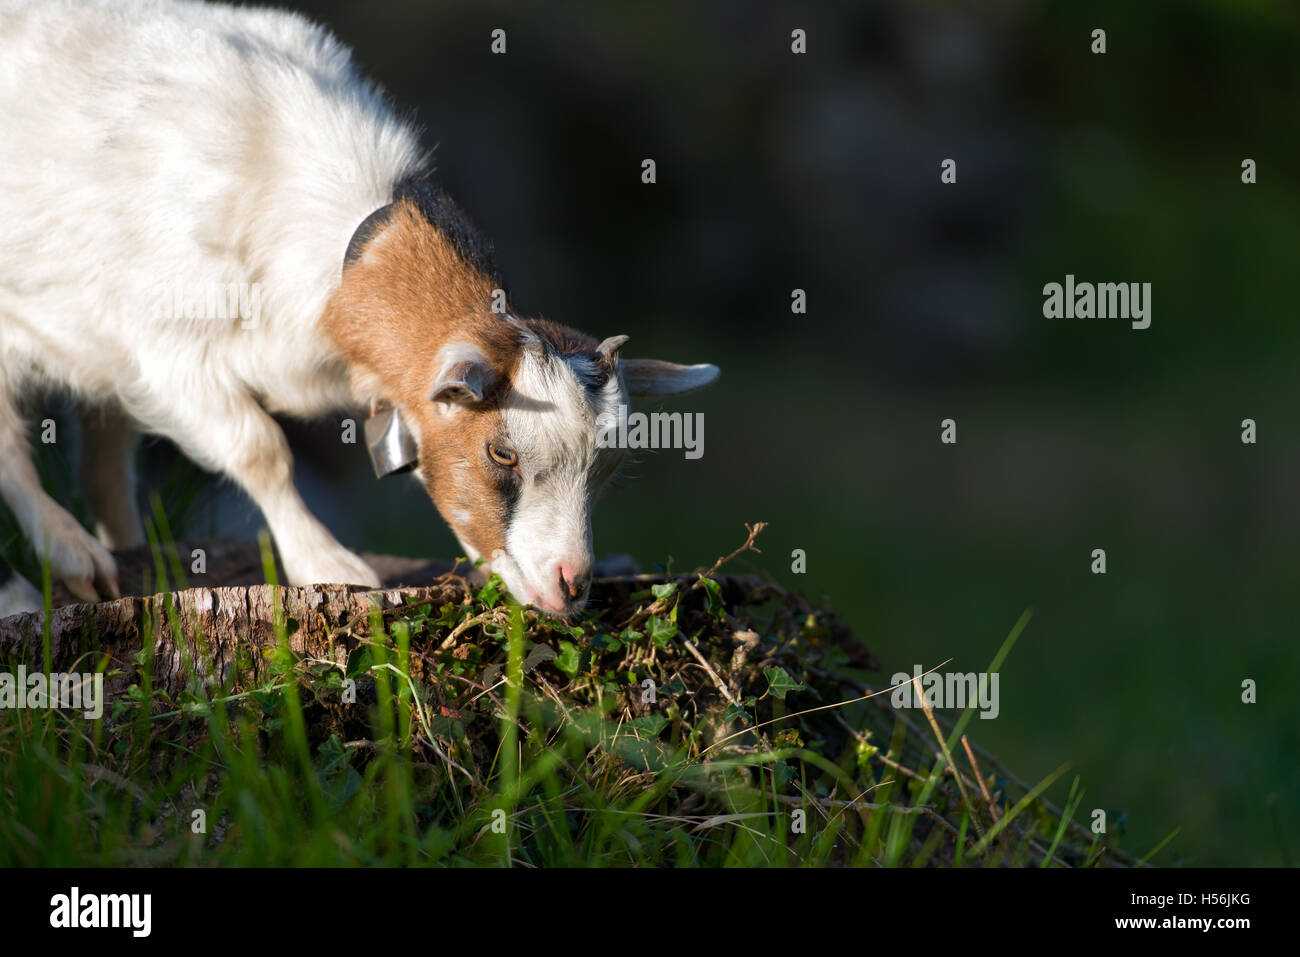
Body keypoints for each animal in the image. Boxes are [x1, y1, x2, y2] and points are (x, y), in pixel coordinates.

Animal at [0, 0, 718, 618]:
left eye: (609, 467)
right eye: (502, 453)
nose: (570, 585)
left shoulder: (131, 359)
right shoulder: (174, 350)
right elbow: (261, 450)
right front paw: (328, 563)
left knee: (101, 464)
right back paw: (60, 561)